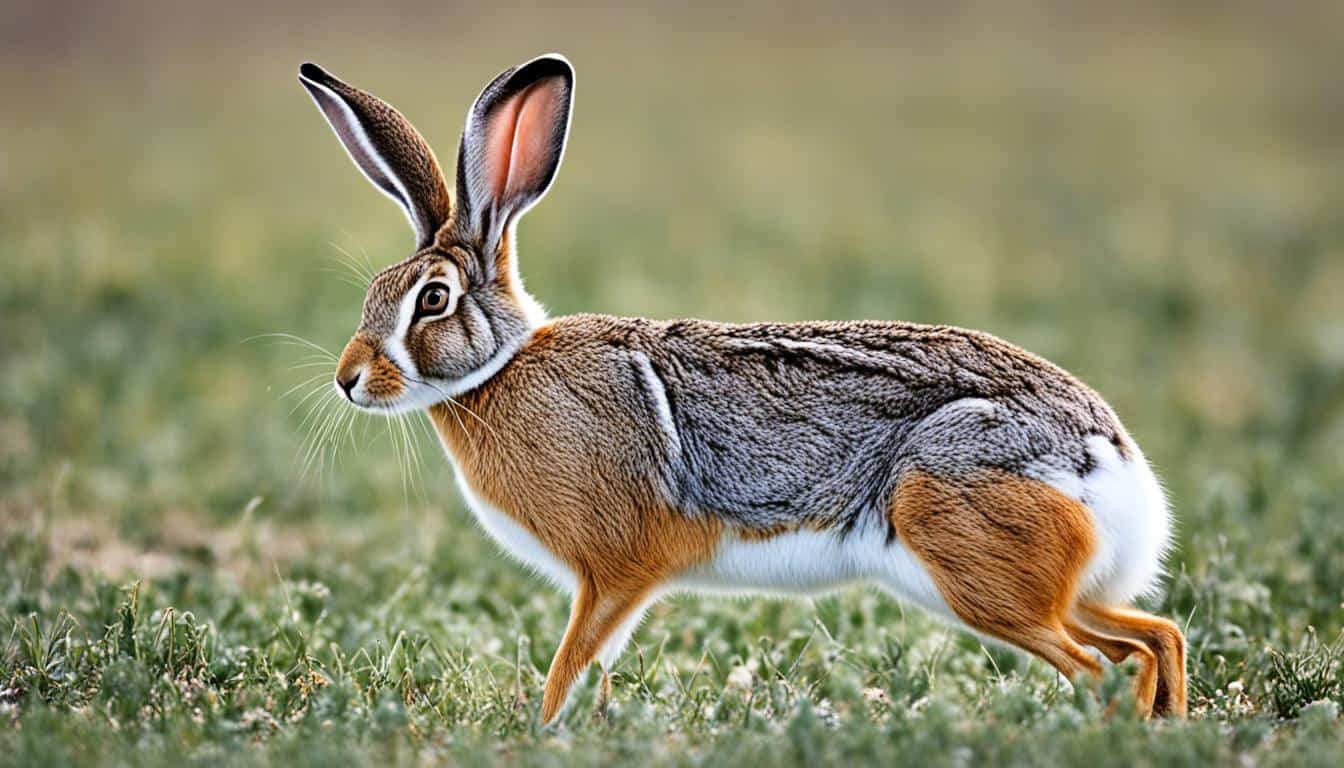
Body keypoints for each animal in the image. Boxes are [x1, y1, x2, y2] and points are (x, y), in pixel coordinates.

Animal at [298, 54, 1186, 724]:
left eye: (432, 300)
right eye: (375, 289)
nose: (350, 381)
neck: (503, 365)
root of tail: (1109, 459)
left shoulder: (614, 573)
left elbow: (573, 663)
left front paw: (544, 729)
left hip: (967, 548)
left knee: (1099, 665)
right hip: (1036, 585)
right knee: (1153, 637)